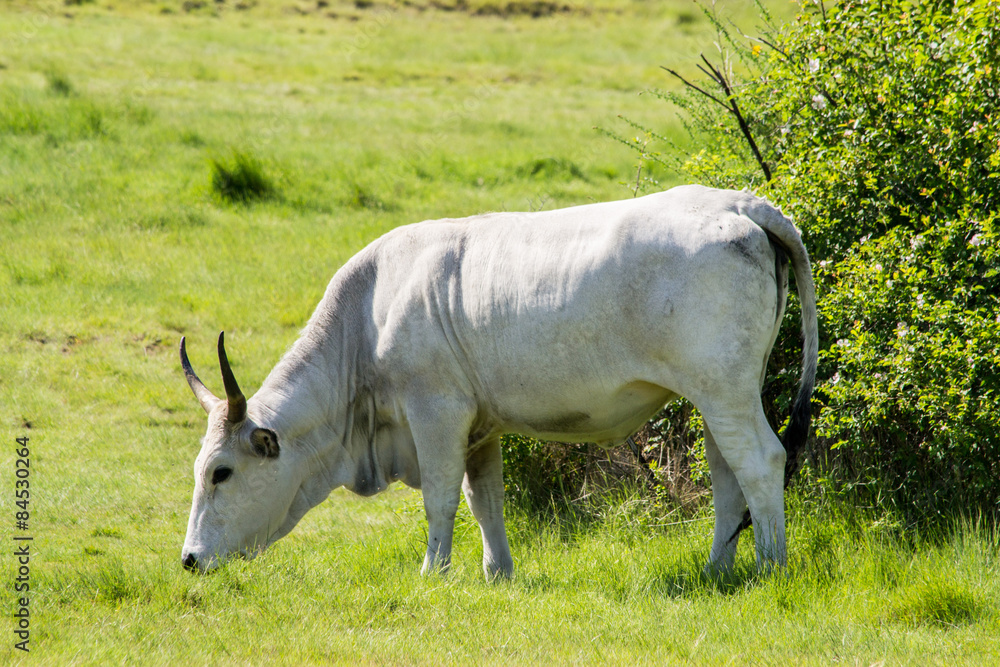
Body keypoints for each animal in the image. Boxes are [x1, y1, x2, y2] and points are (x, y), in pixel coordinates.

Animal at [179, 184, 818, 579]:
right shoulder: (480, 428)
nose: (188, 559)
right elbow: (483, 498)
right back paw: (716, 570)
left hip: (725, 390)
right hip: (717, 396)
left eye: (221, 472)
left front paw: (432, 573)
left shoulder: (435, 412)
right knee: (728, 475)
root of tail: (740, 203)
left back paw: (770, 567)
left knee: (761, 461)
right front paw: (497, 574)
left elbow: (440, 498)